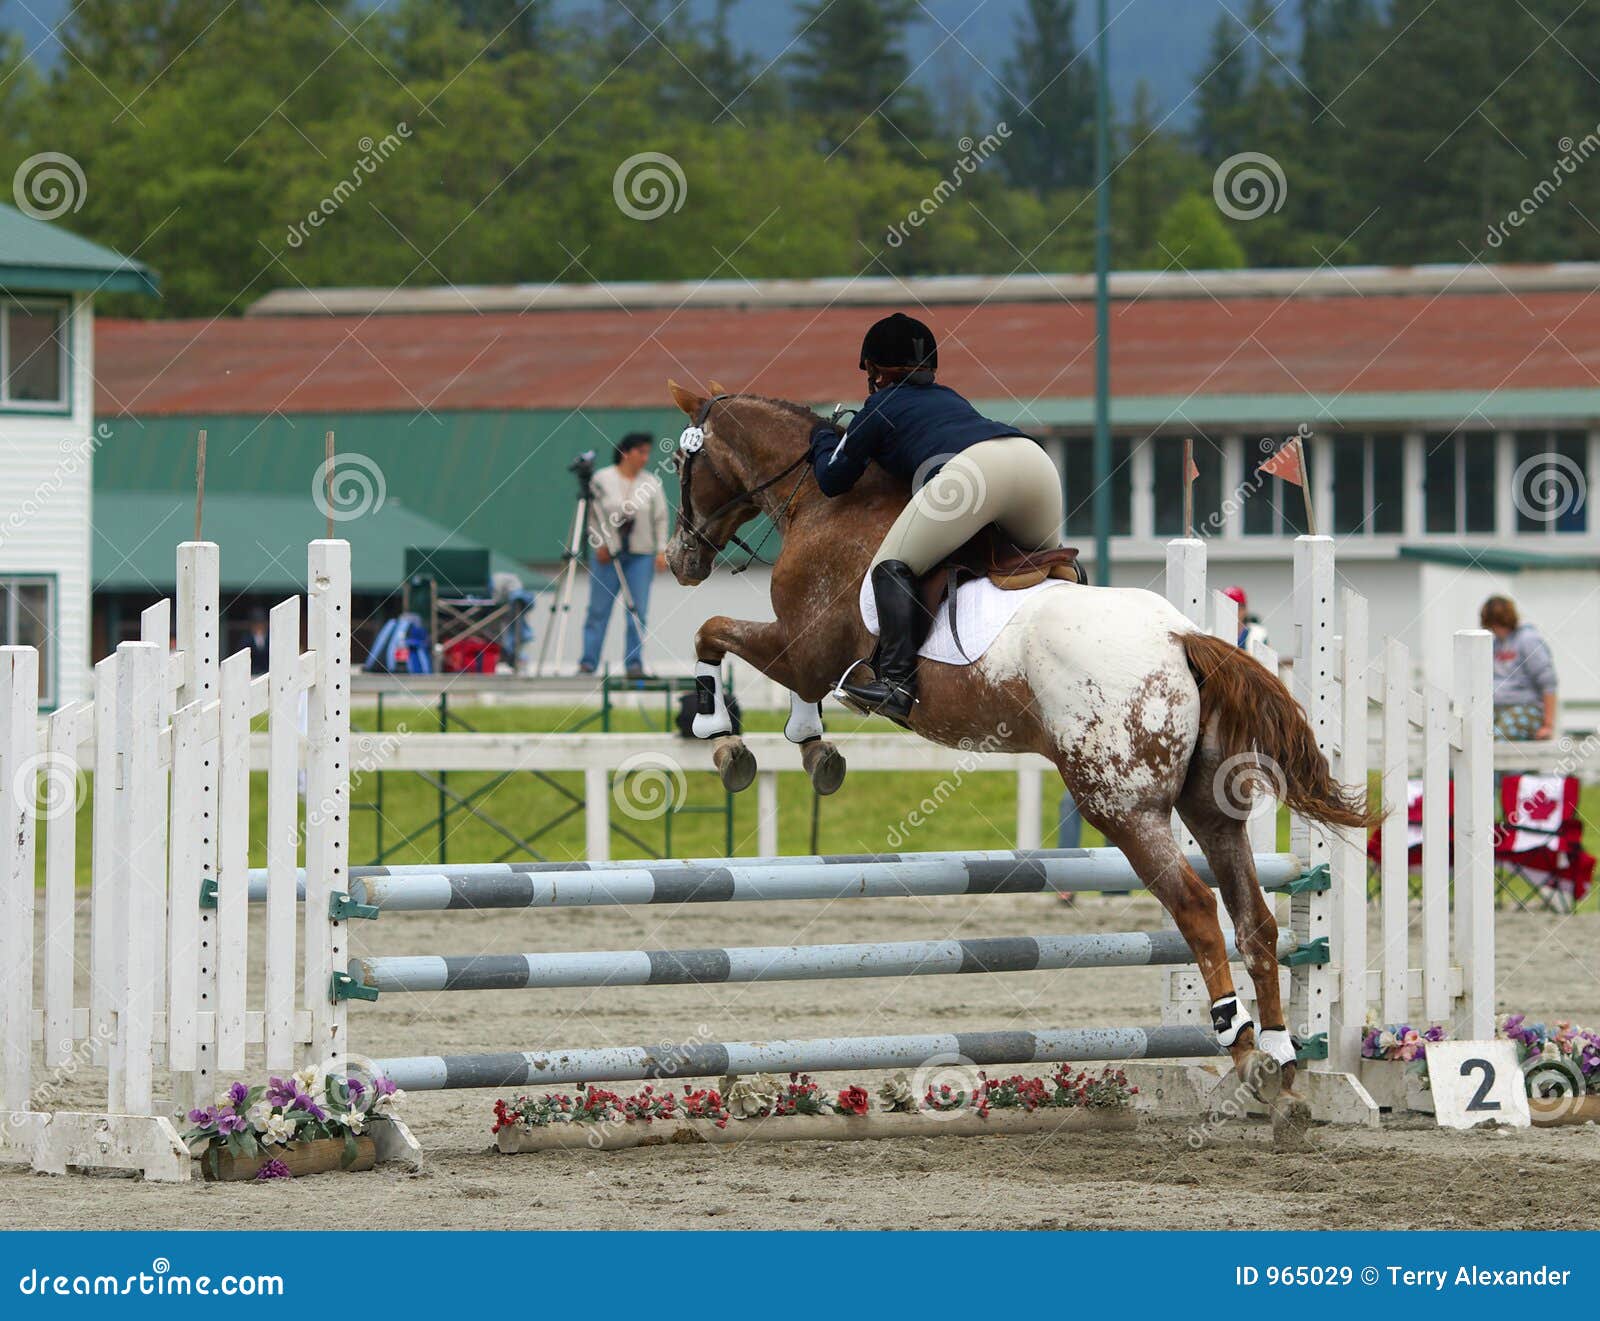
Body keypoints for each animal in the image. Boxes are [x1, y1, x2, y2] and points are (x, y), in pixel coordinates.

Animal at [662, 382, 1372, 1096]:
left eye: (680, 462)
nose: (679, 560)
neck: (823, 500)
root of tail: (1180, 638)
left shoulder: (802, 650)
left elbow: (711, 633)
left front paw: (725, 739)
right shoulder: (806, 657)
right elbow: (751, 663)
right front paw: (815, 749)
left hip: (1122, 806)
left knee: (1197, 906)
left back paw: (1239, 1039)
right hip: (1210, 807)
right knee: (1254, 916)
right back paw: (1280, 1057)